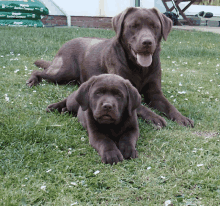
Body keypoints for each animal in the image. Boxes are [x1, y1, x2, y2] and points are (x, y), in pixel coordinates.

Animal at [27, 6, 194, 127]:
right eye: (133, 26)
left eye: (155, 26)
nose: (147, 42)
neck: (139, 68)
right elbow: (141, 107)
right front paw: (155, 117)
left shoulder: (155, 92)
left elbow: (169, 106)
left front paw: (181, 117)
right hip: (63, 72)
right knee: (39, 71)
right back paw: (33, 81)